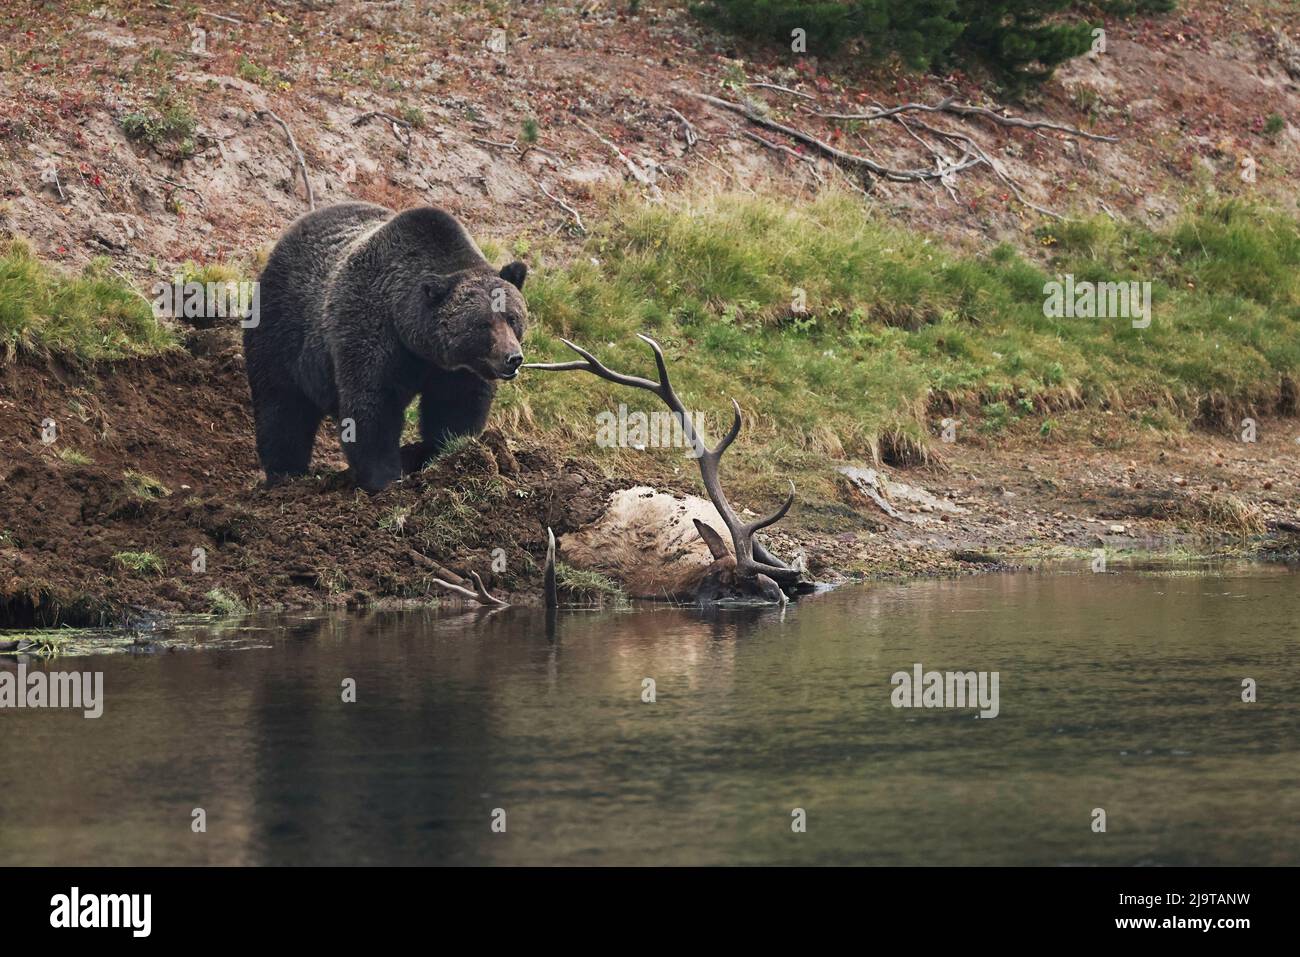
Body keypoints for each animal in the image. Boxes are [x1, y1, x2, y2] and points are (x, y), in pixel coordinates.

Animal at [243, 202, 528, 492]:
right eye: (483, 324)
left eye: (512, 317)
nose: (512, 357)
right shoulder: (370, 329)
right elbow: (372, 404)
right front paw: (386, 478)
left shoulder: (456, 369)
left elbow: (456, 406)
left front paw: (449, 453)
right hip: (283, 328)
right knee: (282, 406)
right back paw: (285, 475)